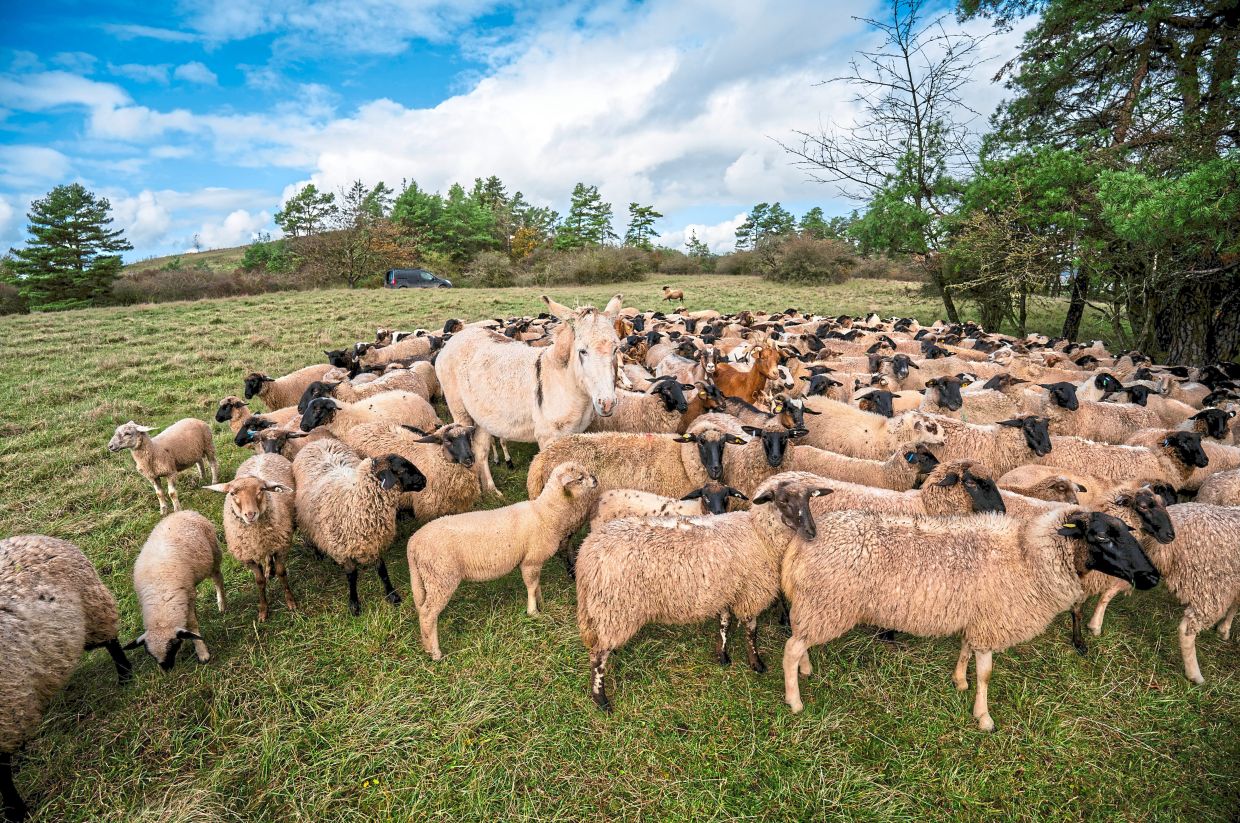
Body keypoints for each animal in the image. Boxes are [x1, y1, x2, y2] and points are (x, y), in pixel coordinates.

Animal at [124, 510, 226, 670]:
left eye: (172, 647)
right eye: (151, 654)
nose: (167, 670)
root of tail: (181, 512)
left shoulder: (188, 597)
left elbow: (192, 626)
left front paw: (202, 653)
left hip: (214, 555)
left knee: (218, 580)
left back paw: (222, 604)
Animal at [204, 453, 298, 622]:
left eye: (261, 490)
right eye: (233, 493)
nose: (250, 514)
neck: (256, 536)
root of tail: (262, 454)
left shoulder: (281, 546)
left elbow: (282, 574)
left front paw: (290, 602)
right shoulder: (248, 558)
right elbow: (259, 581)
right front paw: (263, 610)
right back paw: (268, 570)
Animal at [292, 440, 426, 615]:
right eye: (402, 470)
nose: (425, 480)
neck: (355, 501)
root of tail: (318, 441)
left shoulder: (374, 542)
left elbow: (382, 571)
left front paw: (392, 595)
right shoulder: (343, 550)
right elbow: (352, 576)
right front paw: (354, 604)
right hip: (307, 519)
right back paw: (318, 553)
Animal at [408, 462, 600, 660]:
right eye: (580, 478)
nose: (595, 479)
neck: (546, 512)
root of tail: (413, 542)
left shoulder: (535, 560)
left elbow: (536, 584)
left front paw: (542, 603)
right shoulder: (529, 561)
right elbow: (531, 586)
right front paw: (533, 612)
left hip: (428, 579)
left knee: (422, 610)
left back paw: (427, 646)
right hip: (441, 577)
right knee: (428, 614)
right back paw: (435, 653)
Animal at [779, 508, 1159, 729]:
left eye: (1129, 532)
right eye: (1102, 536)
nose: (1151, 577)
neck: (1027, 556)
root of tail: (800, 541)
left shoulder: (977, 616)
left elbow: (965, 651)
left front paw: (960, 681)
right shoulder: (992, 621)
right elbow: (987, 674)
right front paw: (984, 717)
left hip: (817, 605)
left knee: (800, 640)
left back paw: (806, 670)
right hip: (829, 604)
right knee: (790, 648)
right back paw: (794, 701)